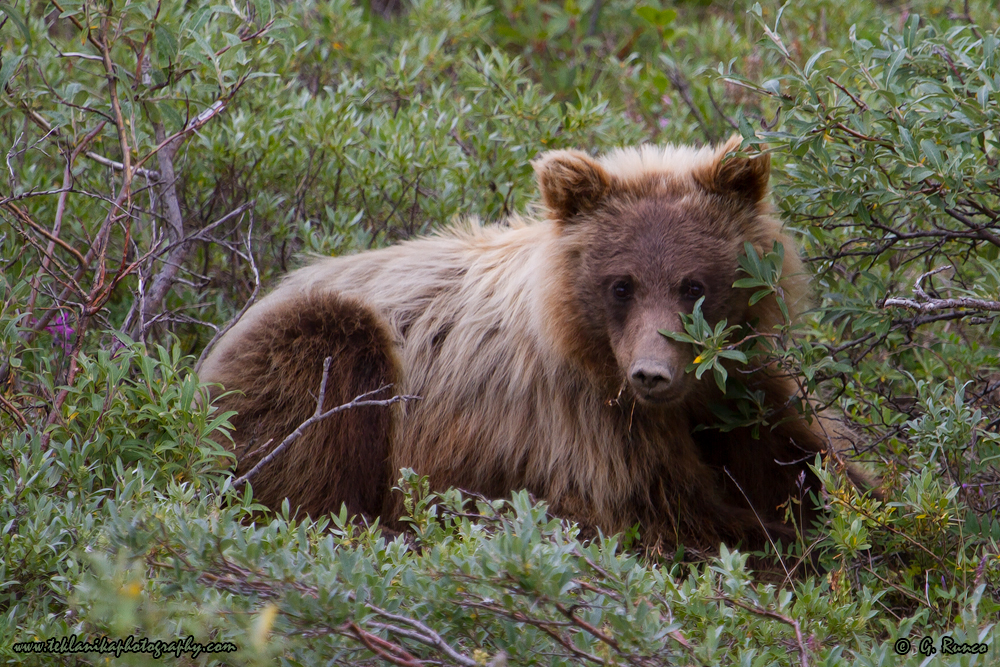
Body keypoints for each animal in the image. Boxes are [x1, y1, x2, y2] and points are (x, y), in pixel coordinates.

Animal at [199, 135, 857, 553]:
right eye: (622, 284)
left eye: (693, 285)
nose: (652, 373)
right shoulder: (582, 424)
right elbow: (665, 514)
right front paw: (784, 543)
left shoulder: (744, 392)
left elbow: (810, 459)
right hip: (314, 348)